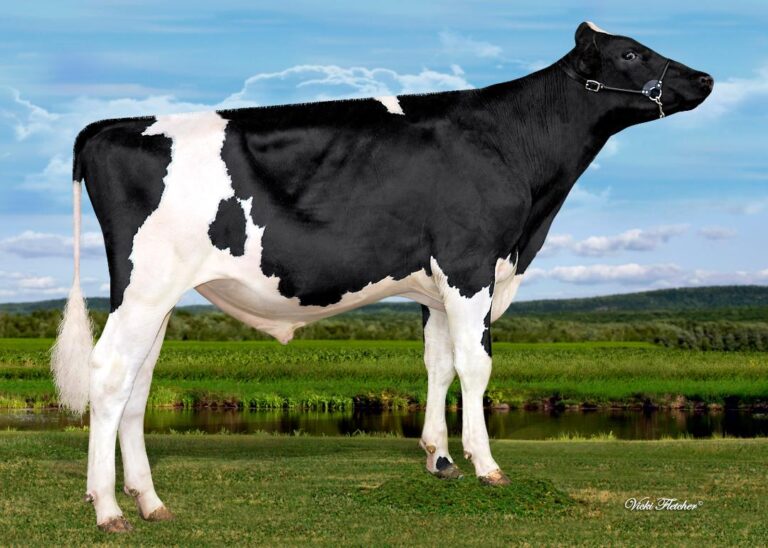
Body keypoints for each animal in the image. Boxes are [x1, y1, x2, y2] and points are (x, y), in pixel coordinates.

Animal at [51, 21, 712, 532]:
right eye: (631, 53)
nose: (705, 78)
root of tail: (113, 125)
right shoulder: (471, 264)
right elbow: (477, 366)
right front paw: (486, 465)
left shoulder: (437, 286)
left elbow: (439, 364)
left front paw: (439, 460)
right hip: (145, 286)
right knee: (109, 374)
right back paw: (108, 508)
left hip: (155, 296)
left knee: (136, 384)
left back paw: (149, 501)